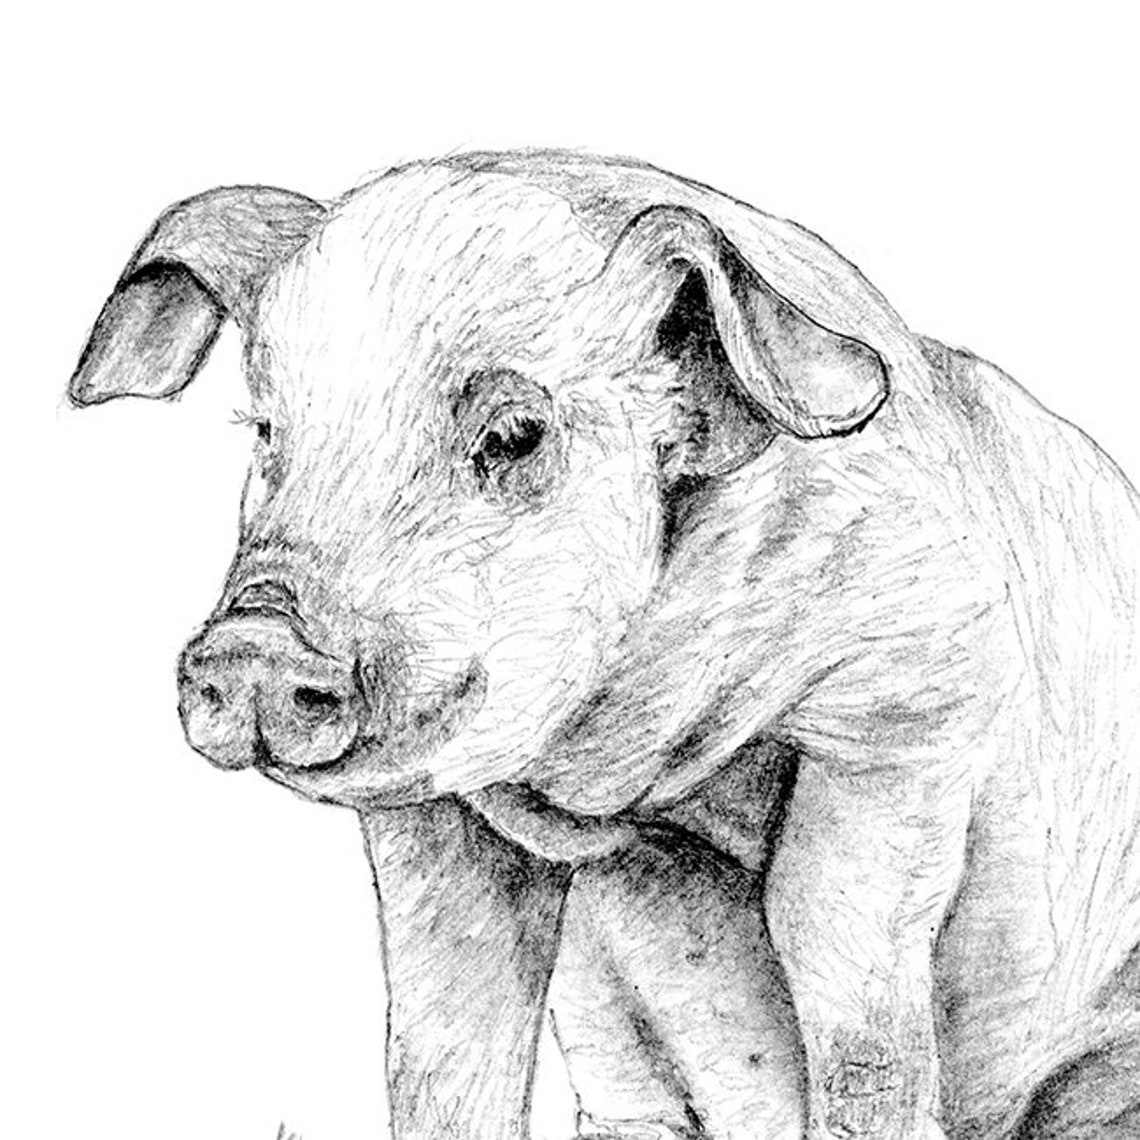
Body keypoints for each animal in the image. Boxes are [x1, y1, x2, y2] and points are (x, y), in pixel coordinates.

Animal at [68, 150, 1140, 1140]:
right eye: (266, 433)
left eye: (514, 432)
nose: (253, 641)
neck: (638, 797)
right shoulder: (440, 828)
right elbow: (444, 1043)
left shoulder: (910, 701)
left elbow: (850, 990)